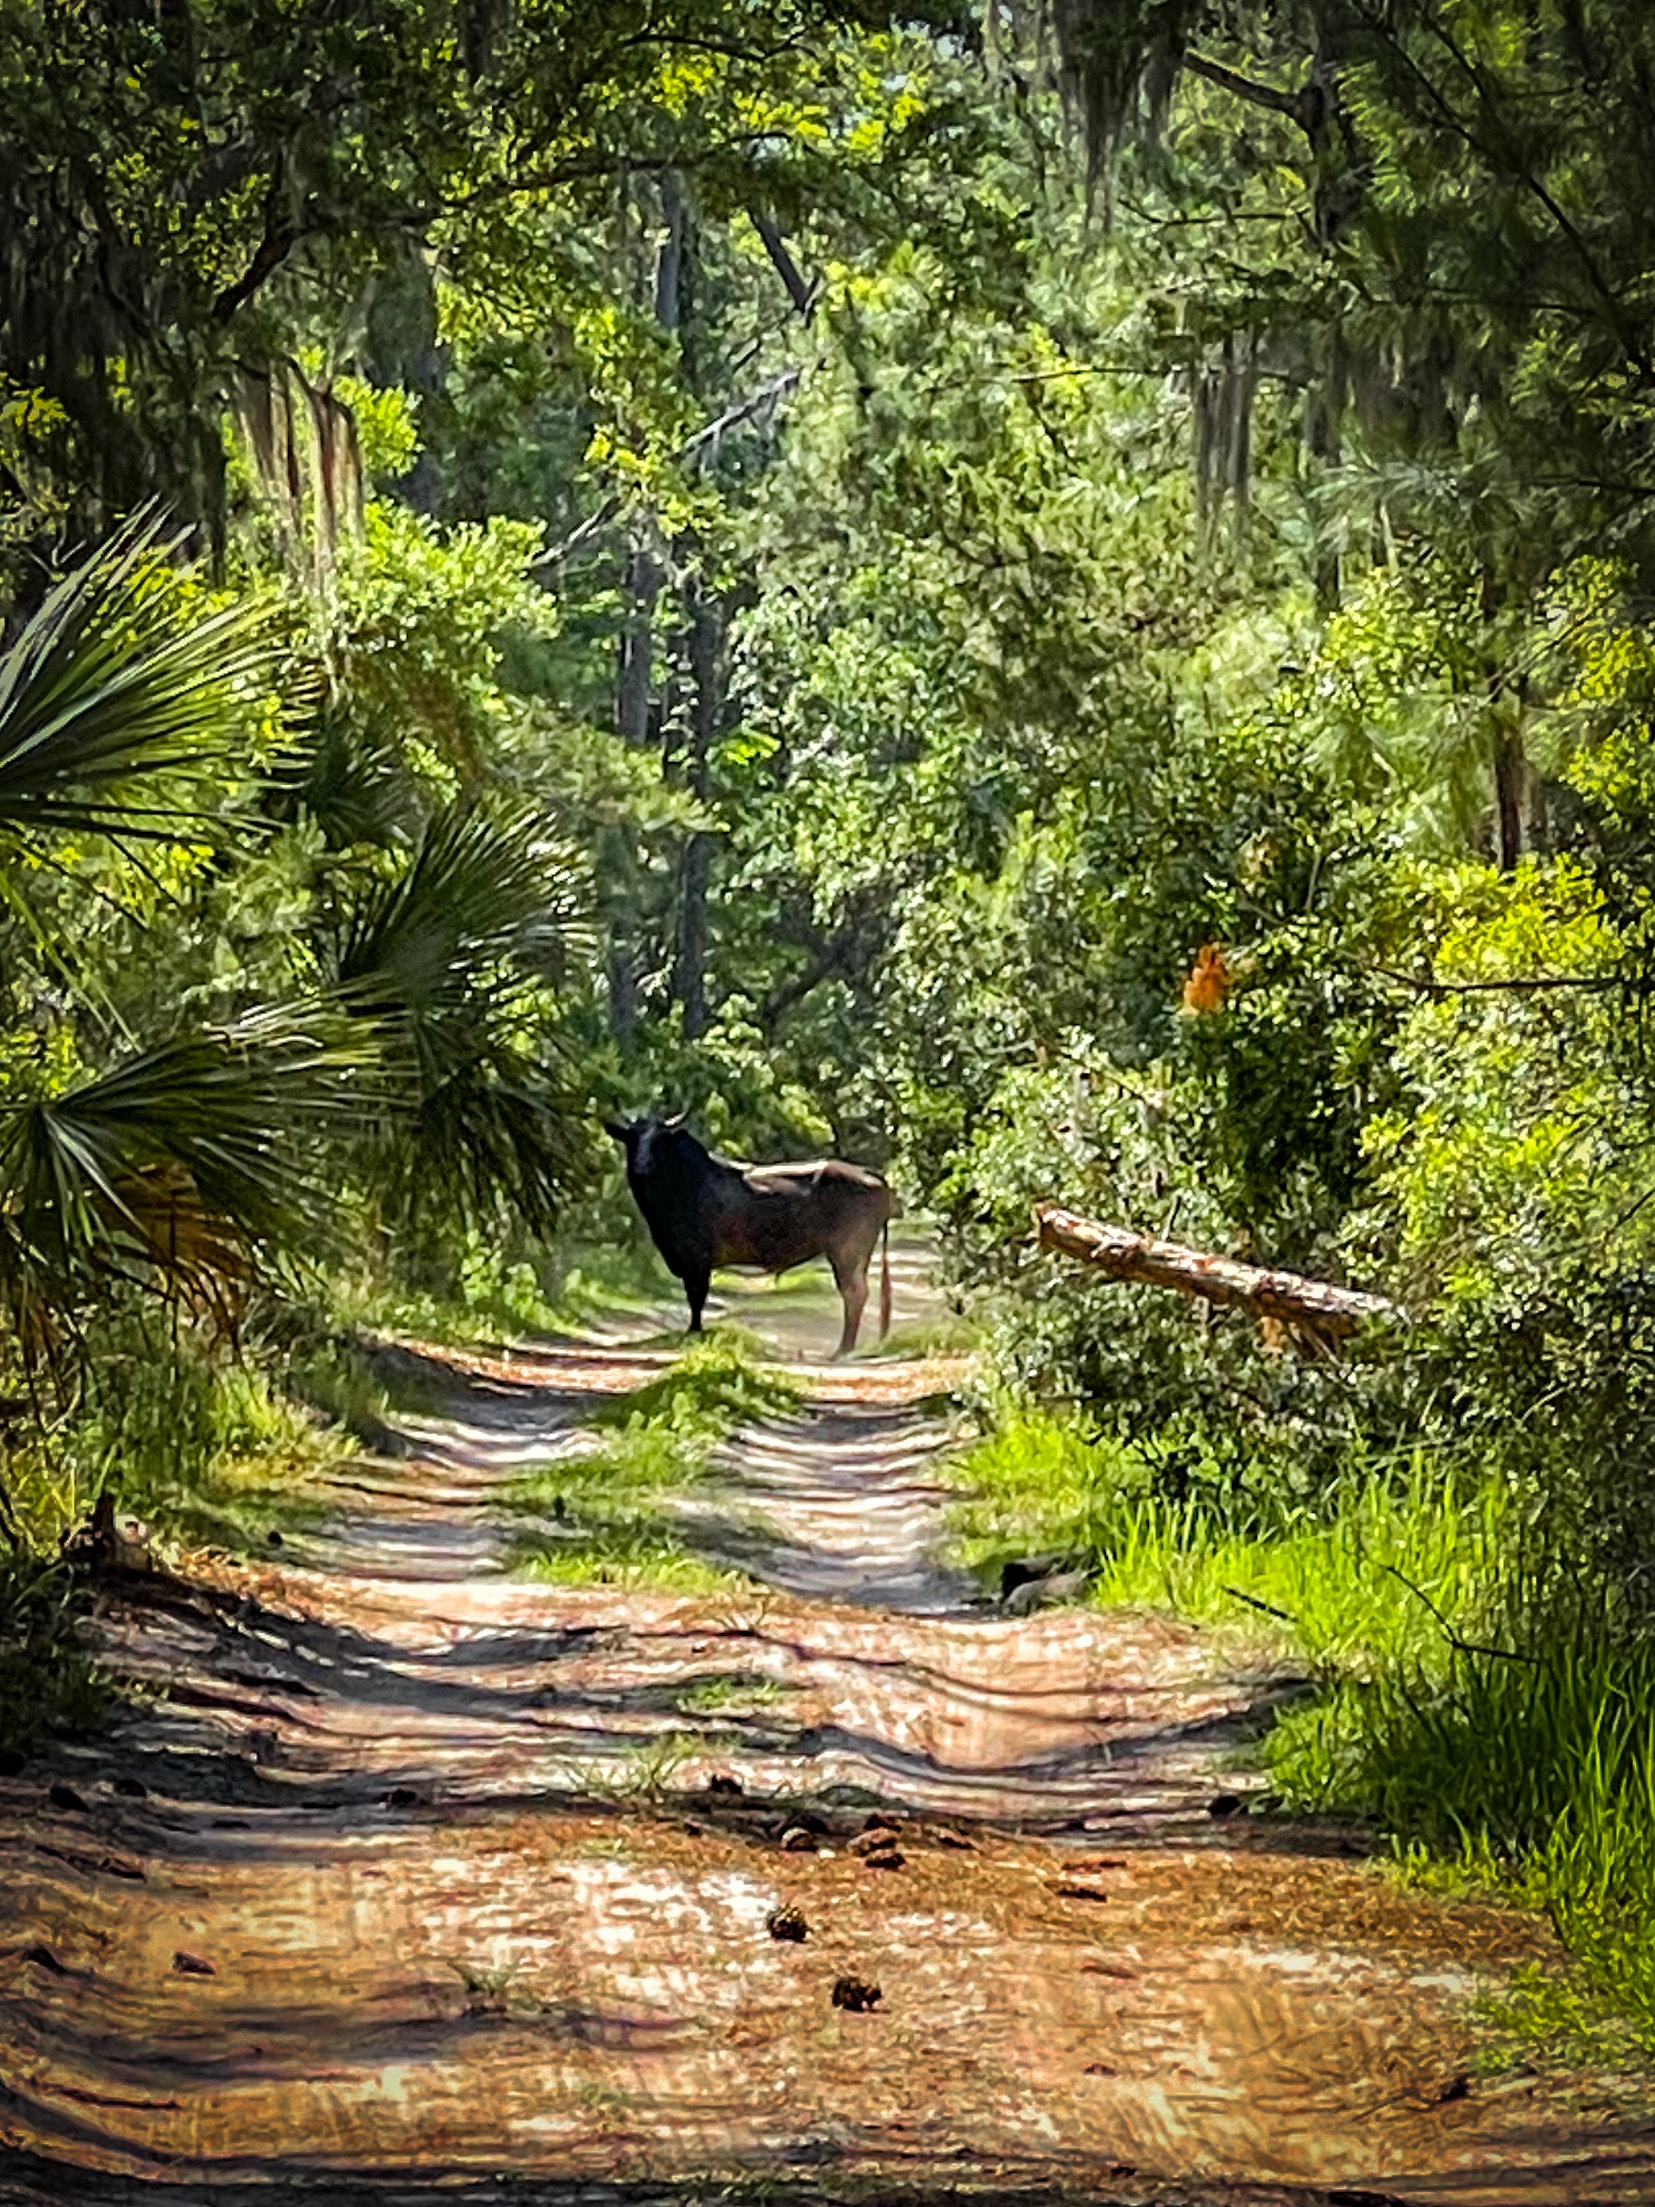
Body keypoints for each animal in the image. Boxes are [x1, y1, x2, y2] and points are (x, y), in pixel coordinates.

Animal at [603, 1113, 897, 1357]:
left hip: (848, 1251)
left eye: (660, 1141)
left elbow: (696, 1298)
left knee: (854, 1294)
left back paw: (843, 1349)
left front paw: (694, 1332)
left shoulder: (697, 1260)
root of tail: (869, 1174)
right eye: (632, 1139)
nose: (642, 1166)